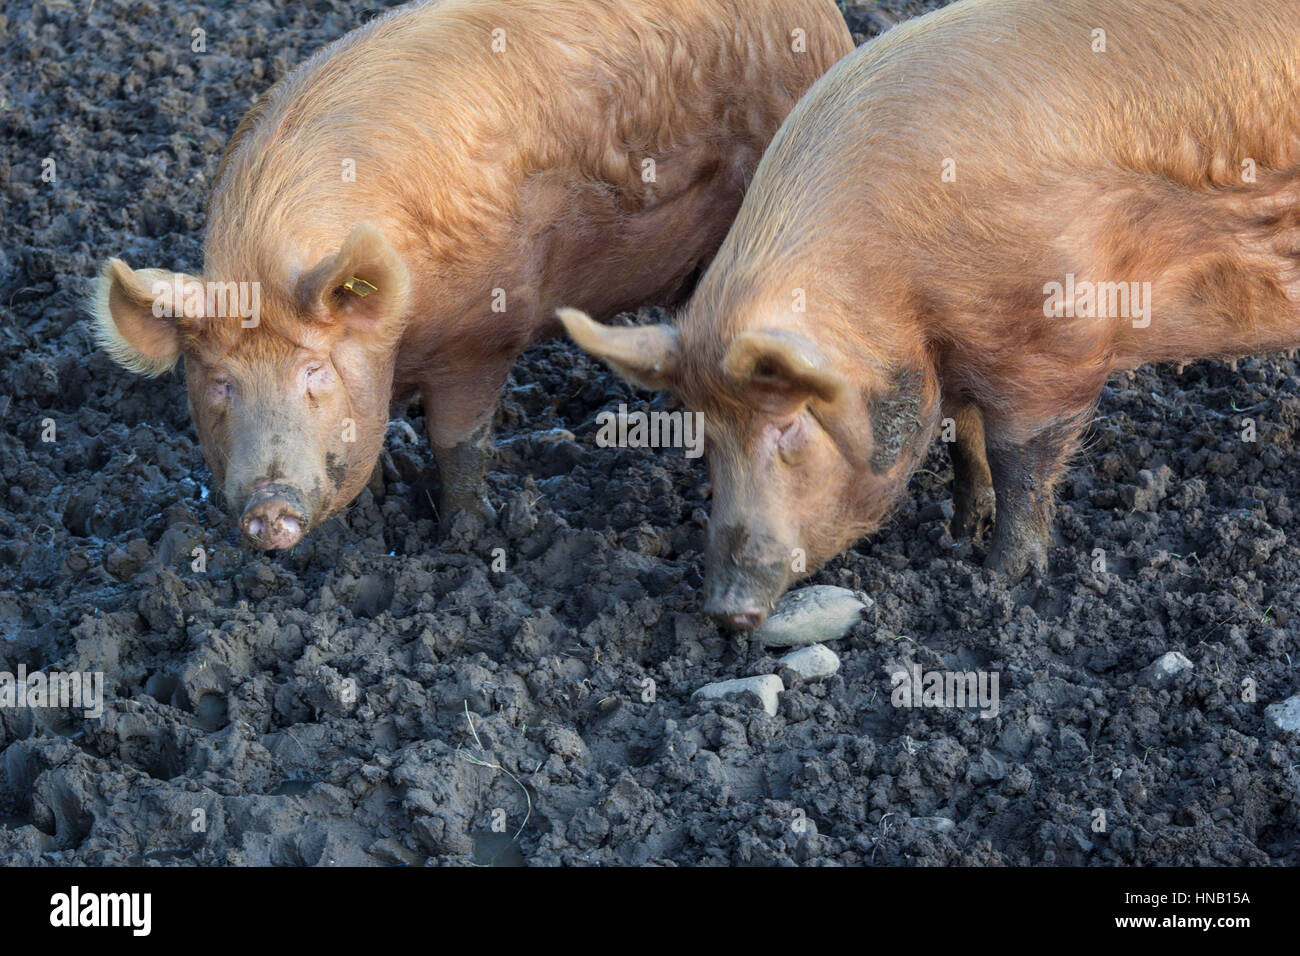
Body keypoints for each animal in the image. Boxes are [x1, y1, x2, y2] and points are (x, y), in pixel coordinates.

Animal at [91, 0, 853, 550]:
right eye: (220, 384)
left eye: (313, 373)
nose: (267, 508)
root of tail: (827, 22)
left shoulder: (482, 336)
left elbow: (459, 440)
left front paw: (464, 537)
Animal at [559, 0, 1300, 628]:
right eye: (705, 432)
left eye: (789, 424)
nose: (725, 611)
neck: (896, 278)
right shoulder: (957, 353)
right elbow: (965, 441)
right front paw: (959, 534)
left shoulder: (1052, 343)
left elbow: (1021, 459)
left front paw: (1002, 580)